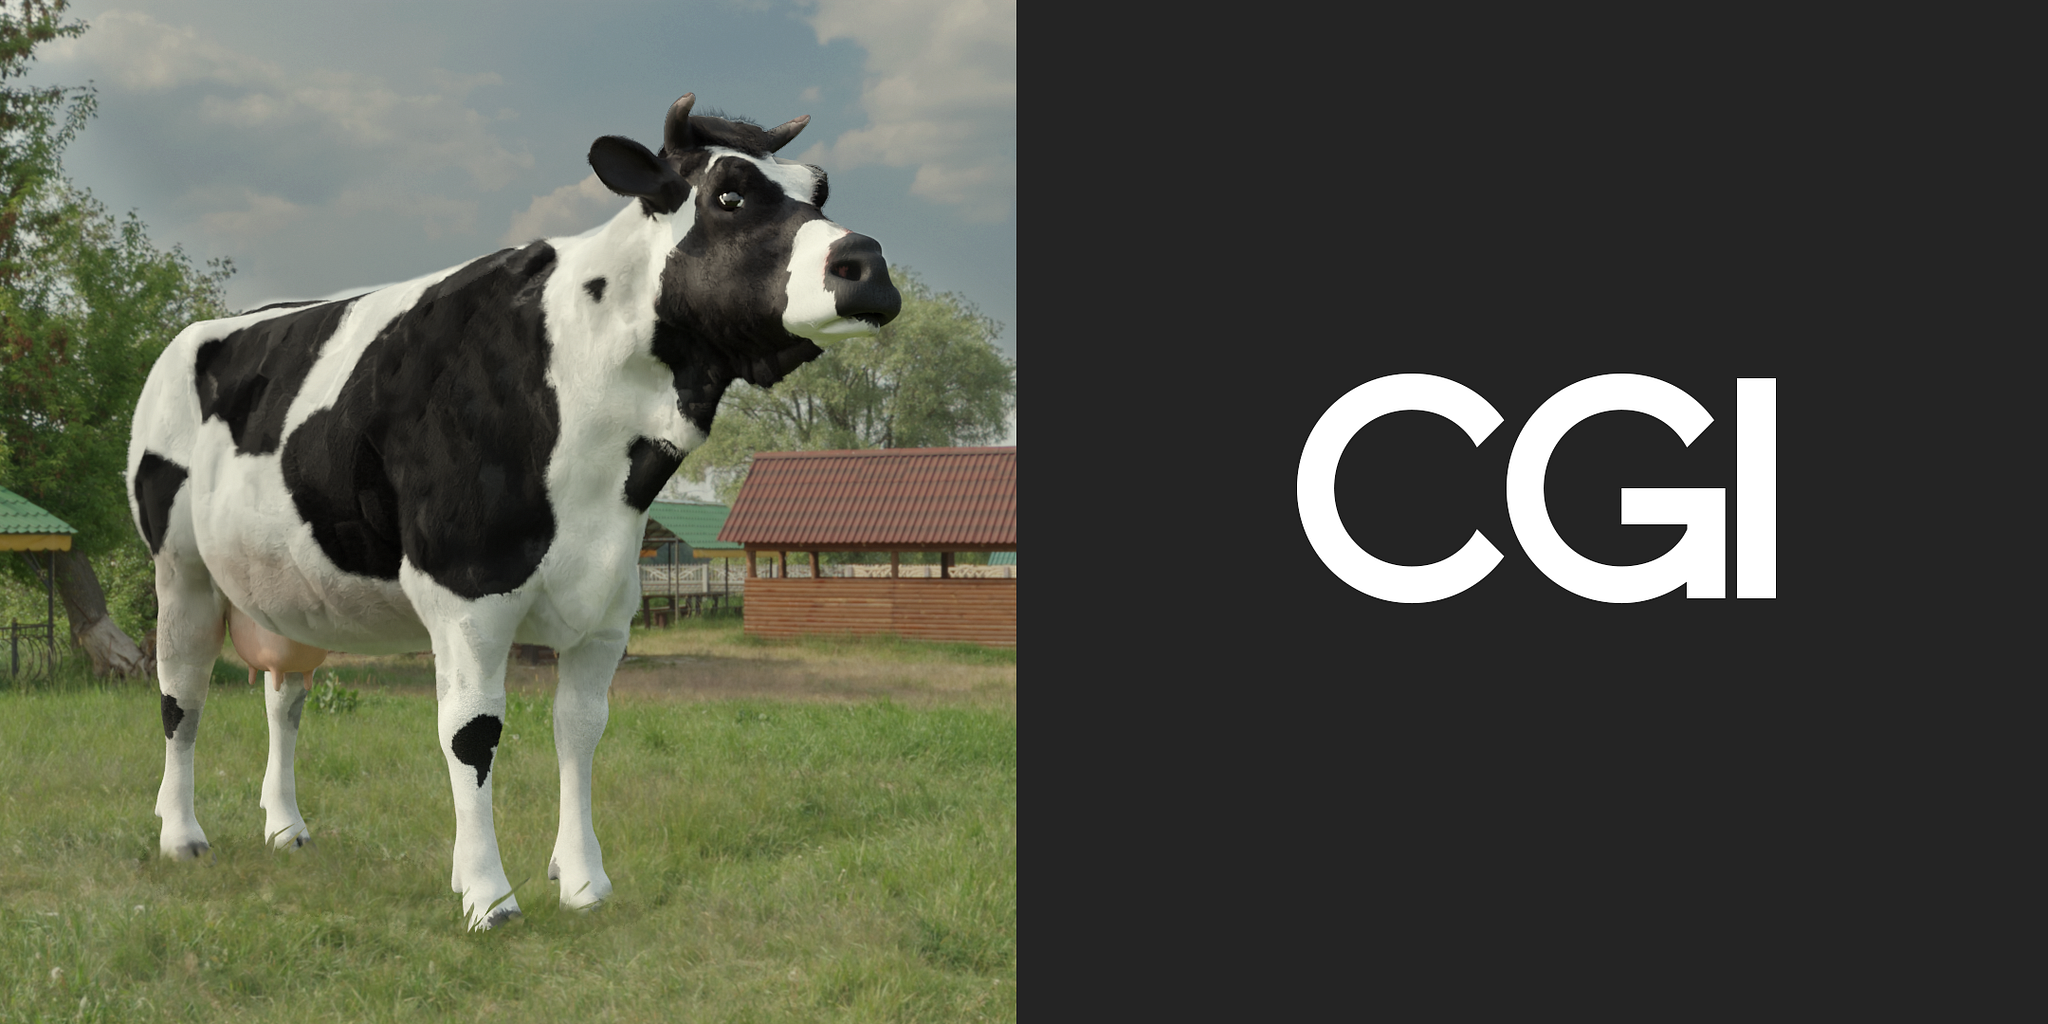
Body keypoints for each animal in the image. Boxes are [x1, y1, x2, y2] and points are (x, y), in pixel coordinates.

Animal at [125, 93, 901, 929]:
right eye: (727, 193)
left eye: (819, 188)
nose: (868, 265)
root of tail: (196, 333)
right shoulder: (468, 590)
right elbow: (472, 734)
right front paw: (487, 895)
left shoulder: (609, 606)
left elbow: (580, 729)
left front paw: (585, 882)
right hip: (180, 568)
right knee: (179, 695)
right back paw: (181, 835)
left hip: (285, 587)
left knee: (285, 695)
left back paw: (285, 828)